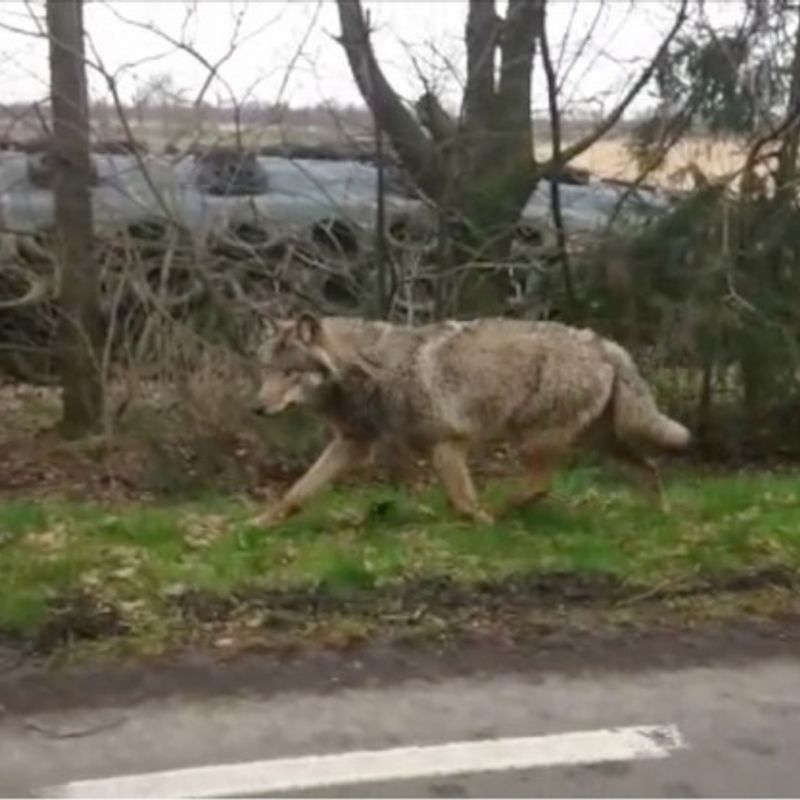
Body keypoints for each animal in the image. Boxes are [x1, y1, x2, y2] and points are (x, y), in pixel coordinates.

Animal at [250, 314, 690, 527]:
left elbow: (462, 502)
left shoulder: (448, 443)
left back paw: (506, 510)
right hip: (600, 441)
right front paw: (259, 523)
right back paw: (662, 516)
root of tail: (603, 344)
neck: (370, 369)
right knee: (649, 466)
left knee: (541, 485)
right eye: (267, 370)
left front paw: (480, 520)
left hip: (535, 441)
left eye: (290, 373)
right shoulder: (352, 444)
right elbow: (296, 493)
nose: (257, 409)